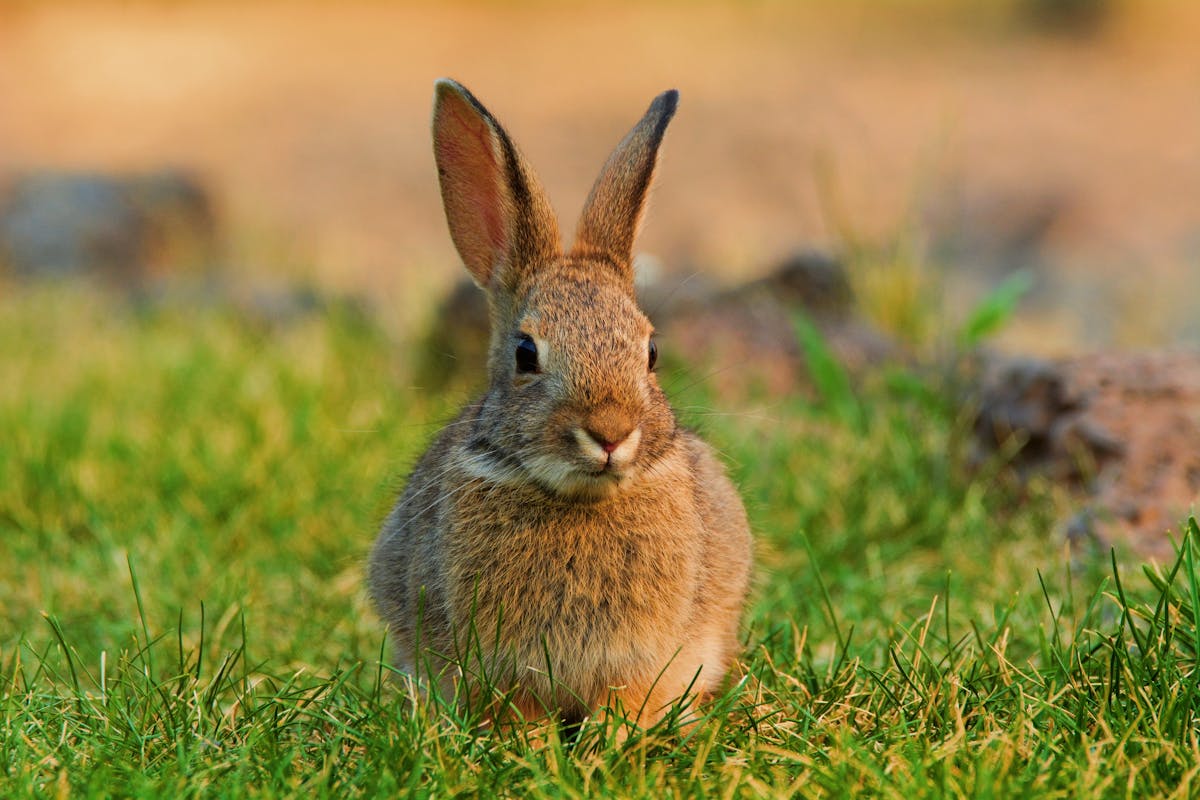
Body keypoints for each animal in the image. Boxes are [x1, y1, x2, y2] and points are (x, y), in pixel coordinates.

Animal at [368, 78, 753, 730]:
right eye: (526, 353)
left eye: (651, 350)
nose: (610, 432)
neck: (577, 499)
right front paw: (531, 740)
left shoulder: (649, 656)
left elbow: (628, 697)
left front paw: (611, 737)